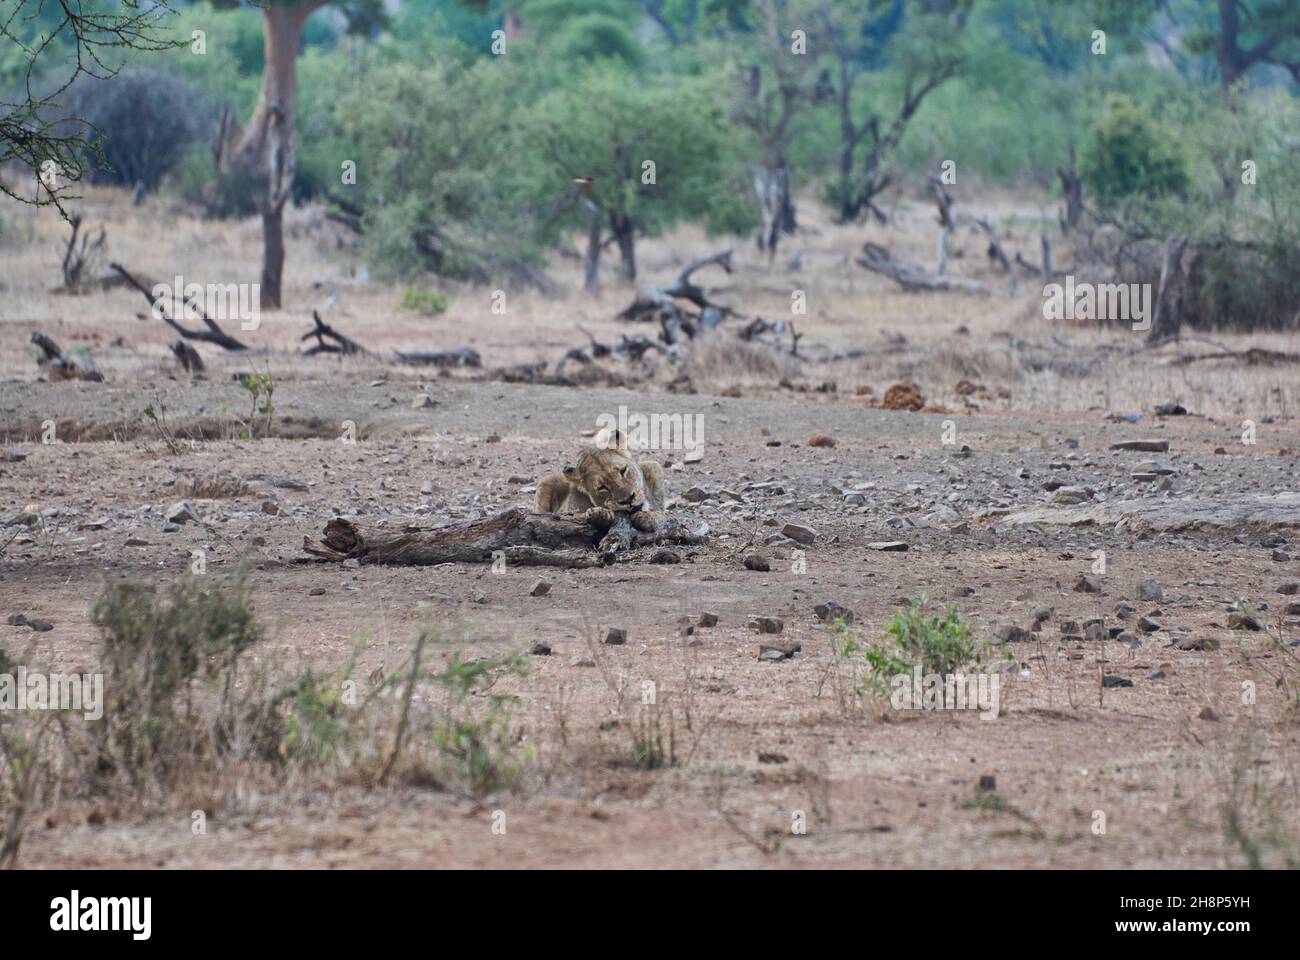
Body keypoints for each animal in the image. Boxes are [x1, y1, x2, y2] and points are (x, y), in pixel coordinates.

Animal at [534, 430, 667, 527]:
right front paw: (601, 513)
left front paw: (649, 517)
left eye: (623, 470)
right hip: (545, 481)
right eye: (602, 487)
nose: (628, 500)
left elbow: (661, 512)